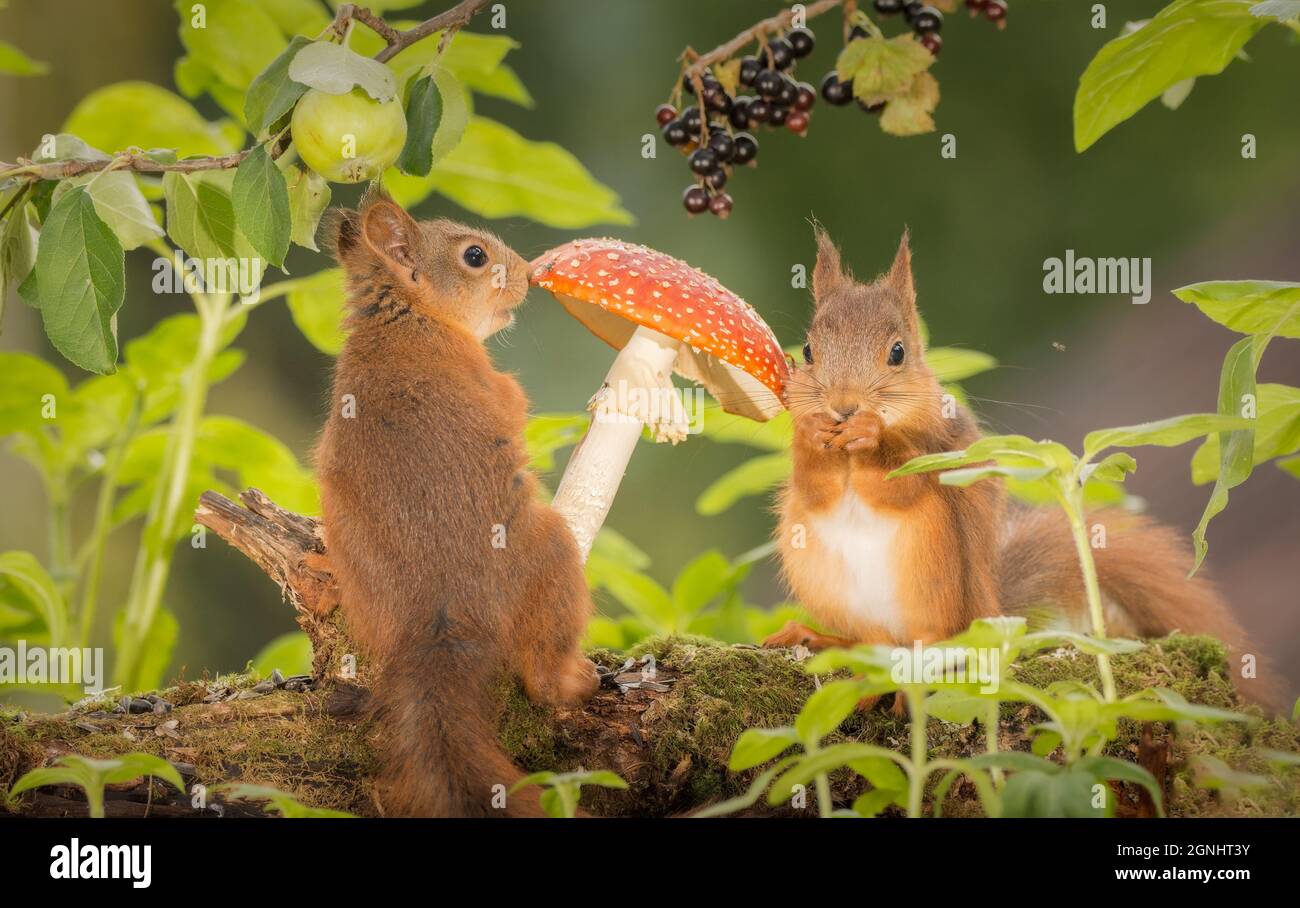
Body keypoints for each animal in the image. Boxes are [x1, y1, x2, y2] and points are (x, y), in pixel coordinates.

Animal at [314, 192, 599, 817]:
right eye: (475, 256)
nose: (528, 274)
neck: (408, 318)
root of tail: (442, 615)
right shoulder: (491, 382)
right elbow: (512, 401)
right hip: (554, 554)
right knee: (542, 677)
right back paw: (576, 681)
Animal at [766, 228, 1265, 703]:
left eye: (897, 352)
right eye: (807, 350)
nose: (844, 406)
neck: (846, 455)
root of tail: (987, 612)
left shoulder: (936, 451)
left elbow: (898, 483)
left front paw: (871, 435)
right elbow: (813, 486)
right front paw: (813, 433)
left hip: (934, 587)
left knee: (929, 645)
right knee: (869, 643)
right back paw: (818, 638)